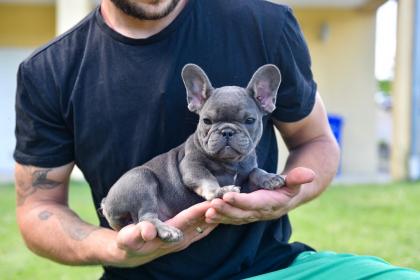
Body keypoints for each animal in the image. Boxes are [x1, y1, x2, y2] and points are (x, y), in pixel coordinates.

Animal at [101, 63, 286, 241]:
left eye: (250, 120)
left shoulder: (246, 182)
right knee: (146, 217)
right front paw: (220, 191)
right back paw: (167, 230)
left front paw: (269, 177)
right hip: (141, 180)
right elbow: (207, 178)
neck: (230, 162)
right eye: (207, 121)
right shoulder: (191, 166)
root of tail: (105, 202)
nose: (227, 131)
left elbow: (255, 171)